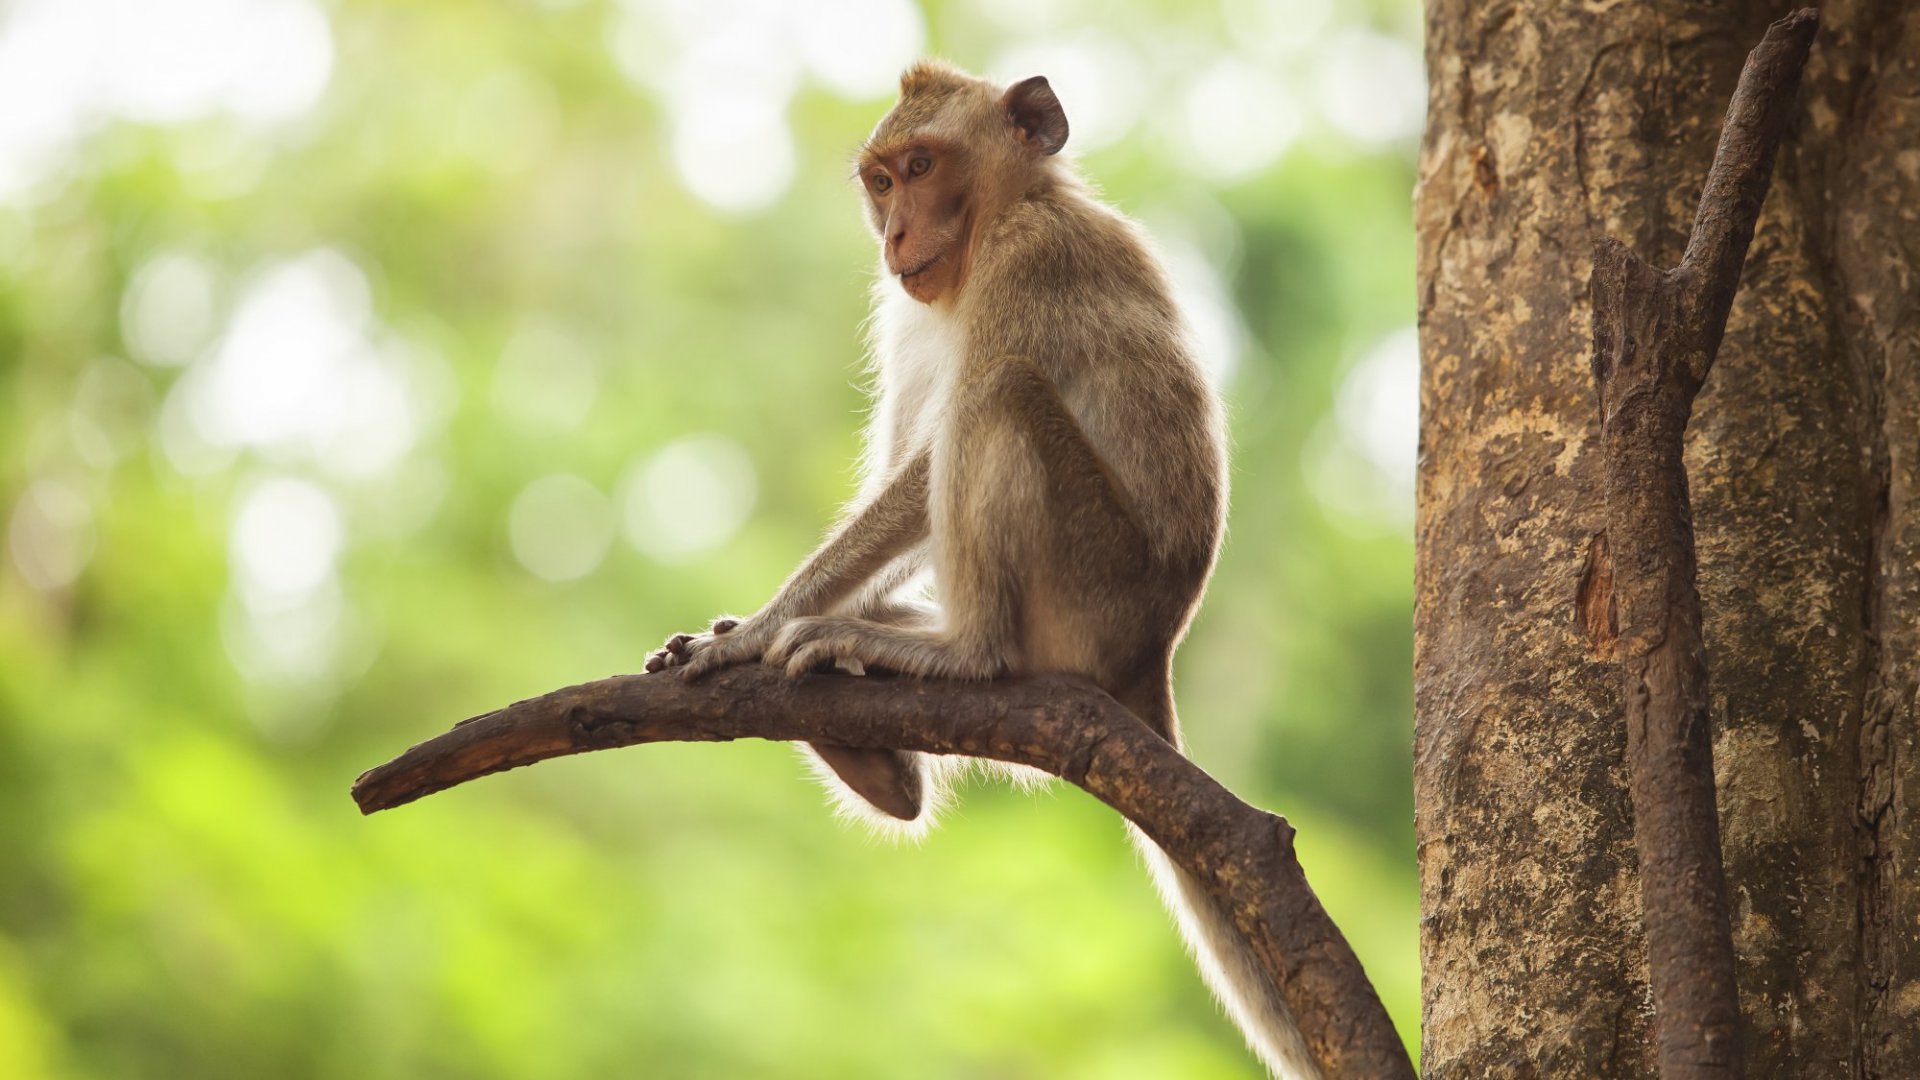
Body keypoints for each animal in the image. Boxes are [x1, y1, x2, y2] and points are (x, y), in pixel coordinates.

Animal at [645, 61, 1319, 1080]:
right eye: (883, 179)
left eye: (925, 166)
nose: (894, 232)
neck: (1016, 207)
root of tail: (1154, 649)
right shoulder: (905, 306)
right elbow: (901, 471)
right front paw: (757, 628)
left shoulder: (1030, 265)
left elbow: (930, 462)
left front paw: (758, 631)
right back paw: (877, 729)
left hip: (1091, 588)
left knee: (997, 394)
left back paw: (959, 655)